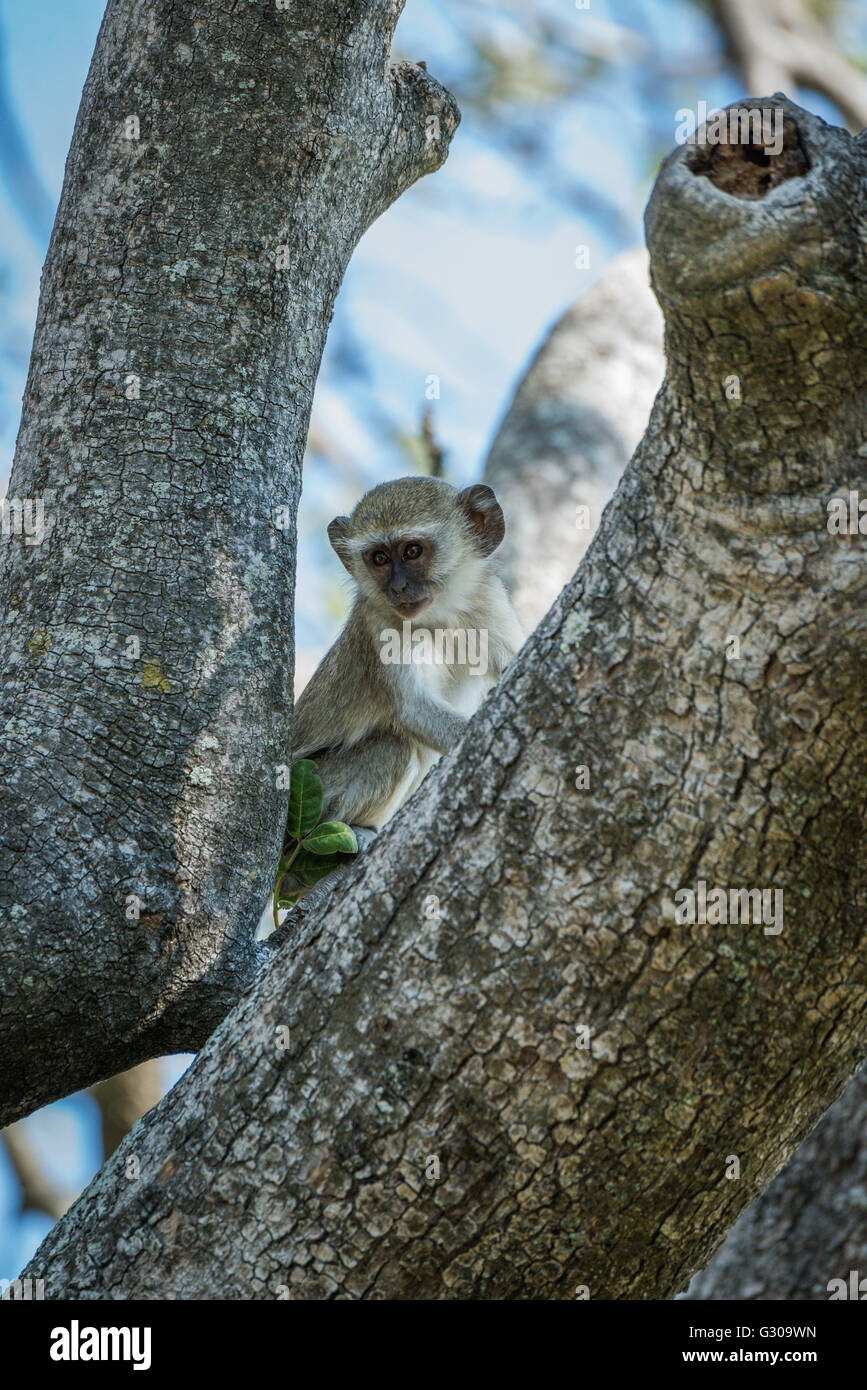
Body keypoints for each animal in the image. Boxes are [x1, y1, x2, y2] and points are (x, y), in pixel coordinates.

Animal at [290, 475, 523, 838]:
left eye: (412, 551)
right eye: (379, 558)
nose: (398, 588)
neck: (442, 618)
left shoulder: (489, 601)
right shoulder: (379, 624)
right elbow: (414, 709)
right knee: (395, 747)